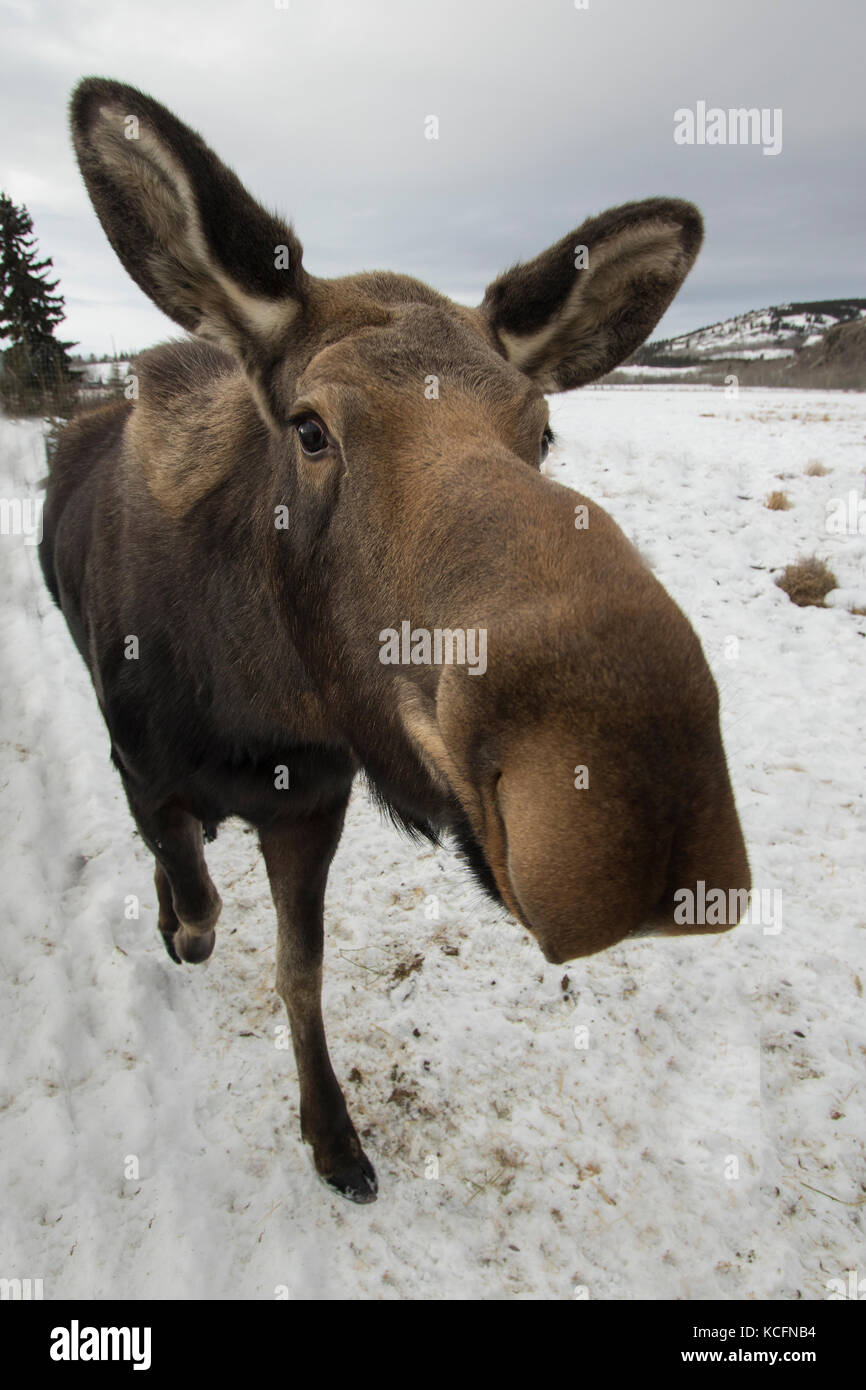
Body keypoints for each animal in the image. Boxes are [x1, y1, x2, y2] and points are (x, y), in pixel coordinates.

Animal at [40, 77, 750, 1203]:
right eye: (309, 427)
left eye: (541, 428)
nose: (647, 802)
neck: (253, 706)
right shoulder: (138, 761)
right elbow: (191, 888)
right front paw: (181, 923)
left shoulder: (312, 804)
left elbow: (300, 974)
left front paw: (332, 1136)